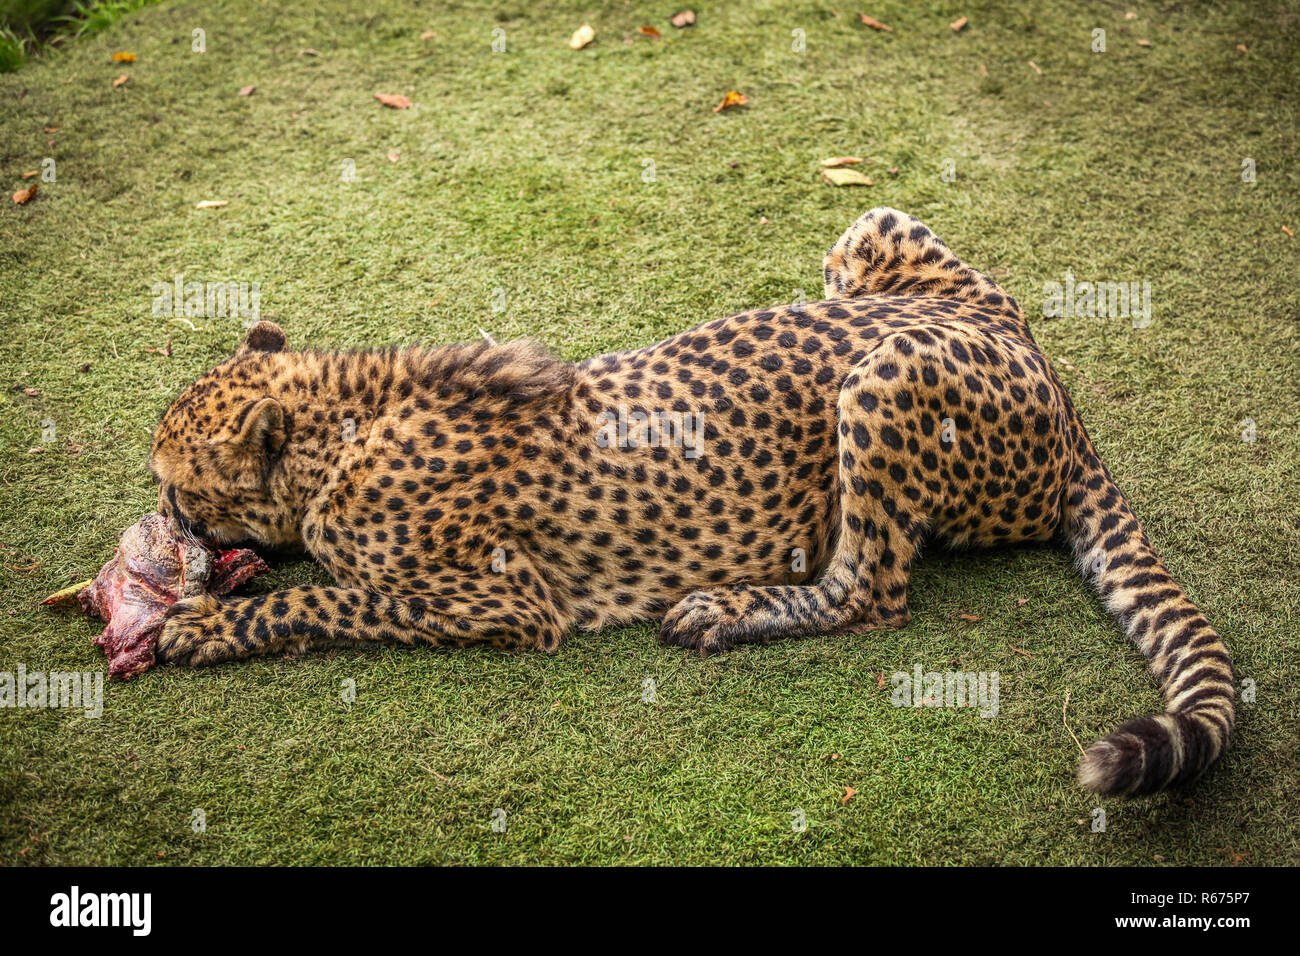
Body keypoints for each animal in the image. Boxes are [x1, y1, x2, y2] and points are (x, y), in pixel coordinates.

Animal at [149, 207, 1235, 797]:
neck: (341, 414)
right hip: (869, 235)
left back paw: (729, 608)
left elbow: (328, 598)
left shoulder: (510, 601)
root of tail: (1049, 376)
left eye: (173, 482)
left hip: (886, 376)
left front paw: (204, 624)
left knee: (870, 592)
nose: (165, 523)